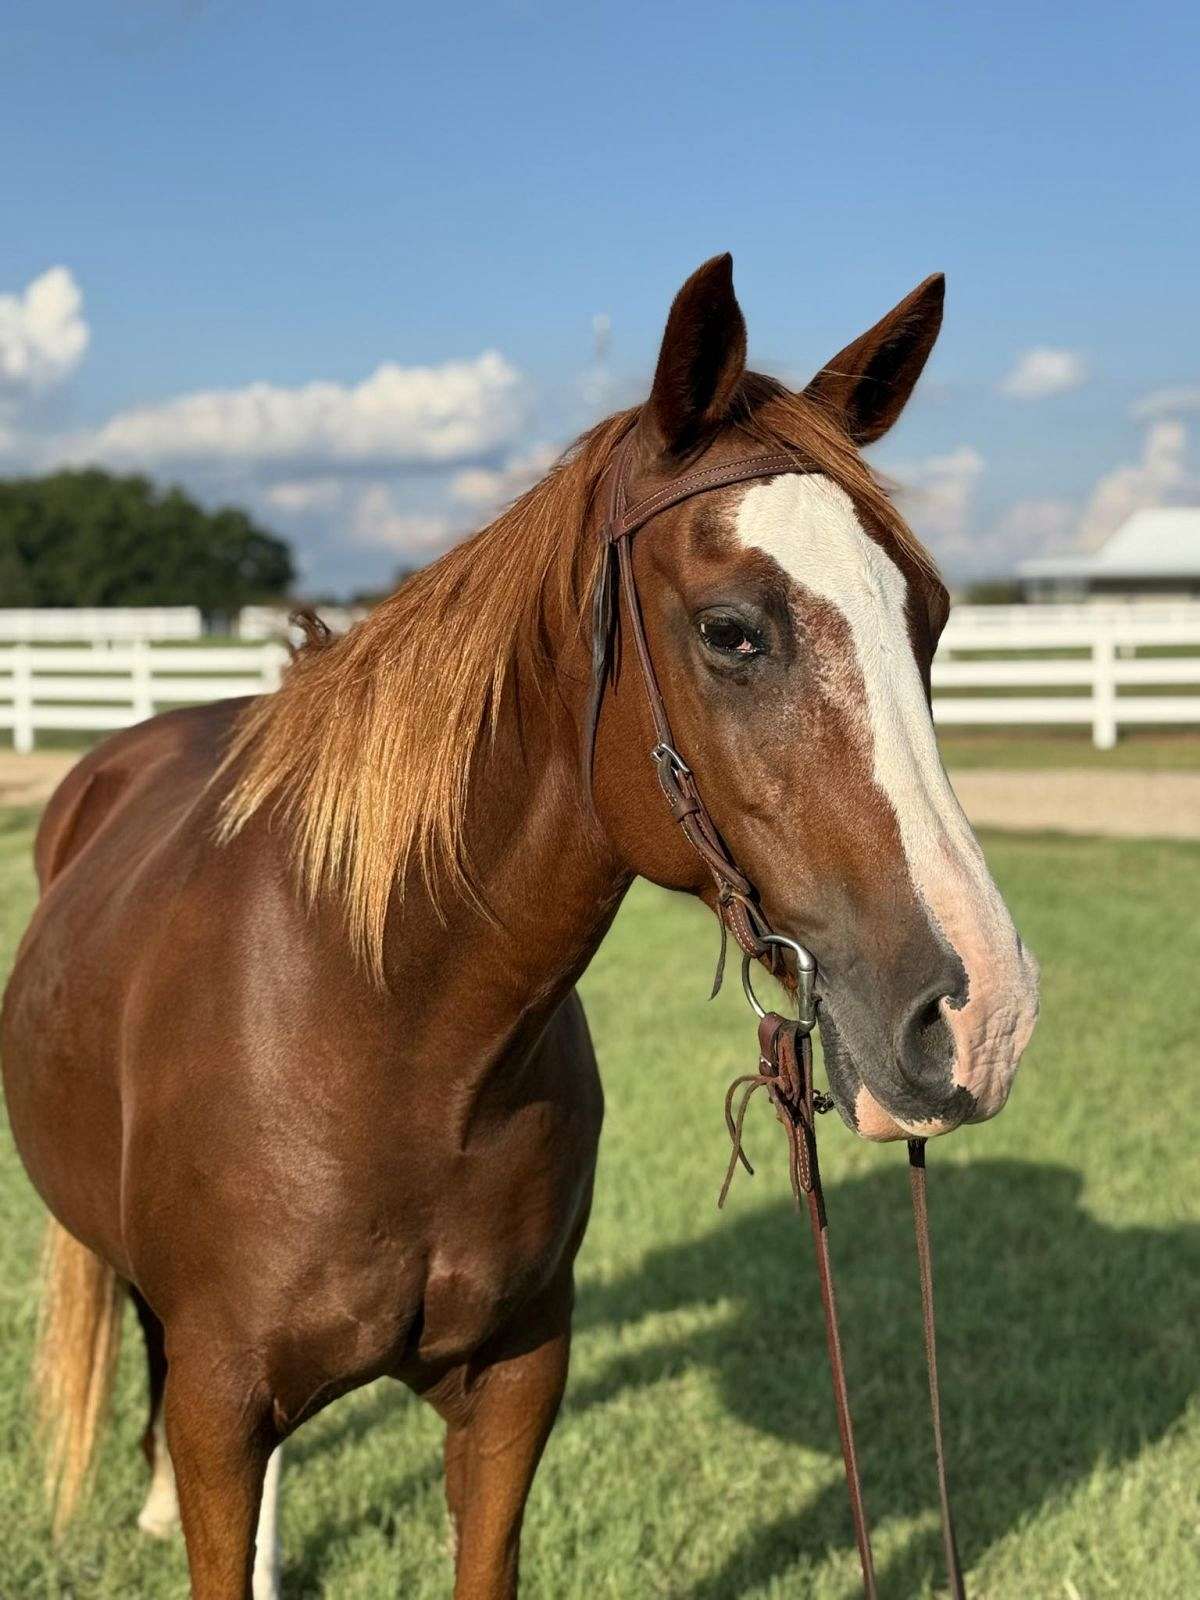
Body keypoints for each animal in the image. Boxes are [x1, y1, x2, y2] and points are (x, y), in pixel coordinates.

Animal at [2, 253, 1039, 1599]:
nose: (983, 1016)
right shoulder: (222, 1406)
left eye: (933, 618)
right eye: (731, 631)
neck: (385, 1028)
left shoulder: (516, 1384)